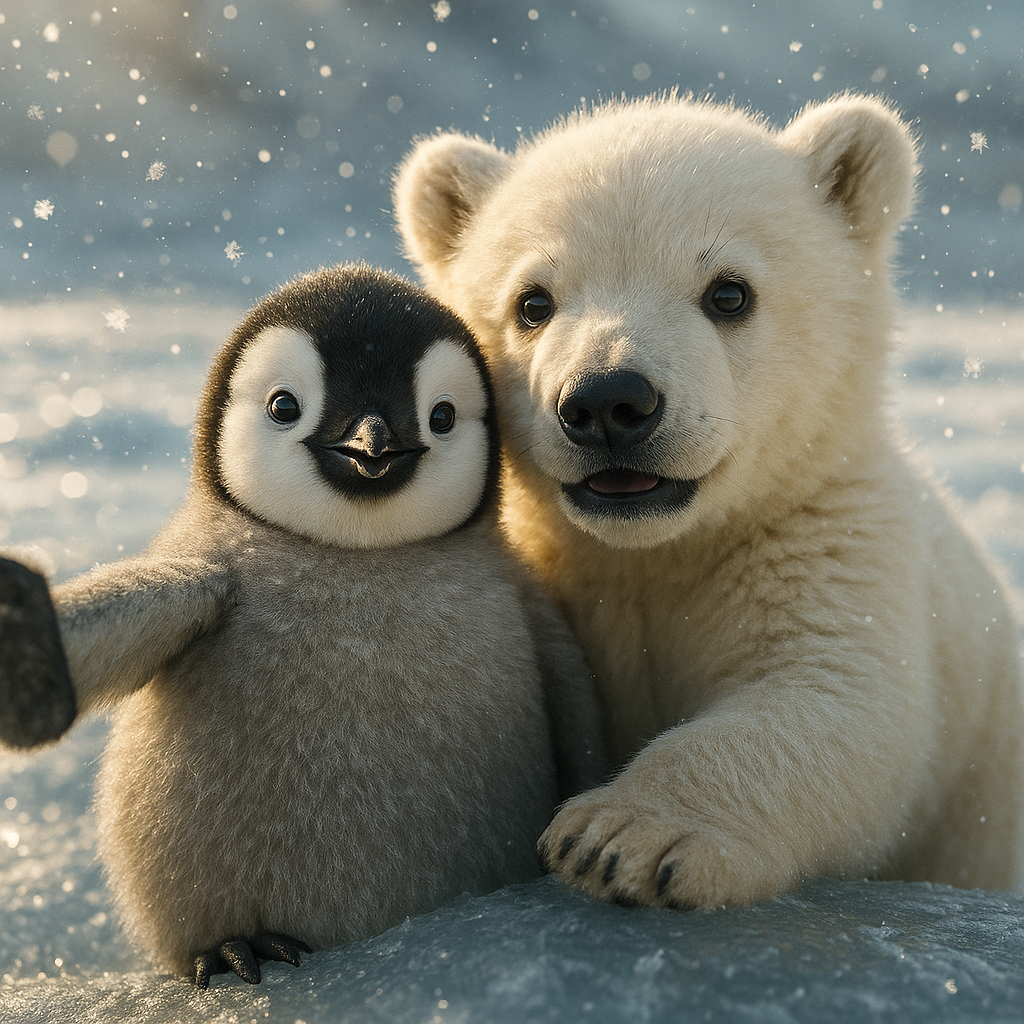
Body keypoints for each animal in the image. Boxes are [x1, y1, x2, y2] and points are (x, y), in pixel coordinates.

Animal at [392, 92, 1024, 909]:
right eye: (532, 302)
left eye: (729, 292)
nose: (608, 401)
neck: (654, 551)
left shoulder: (827, 536)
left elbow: (839, 699)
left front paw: (621, 837)